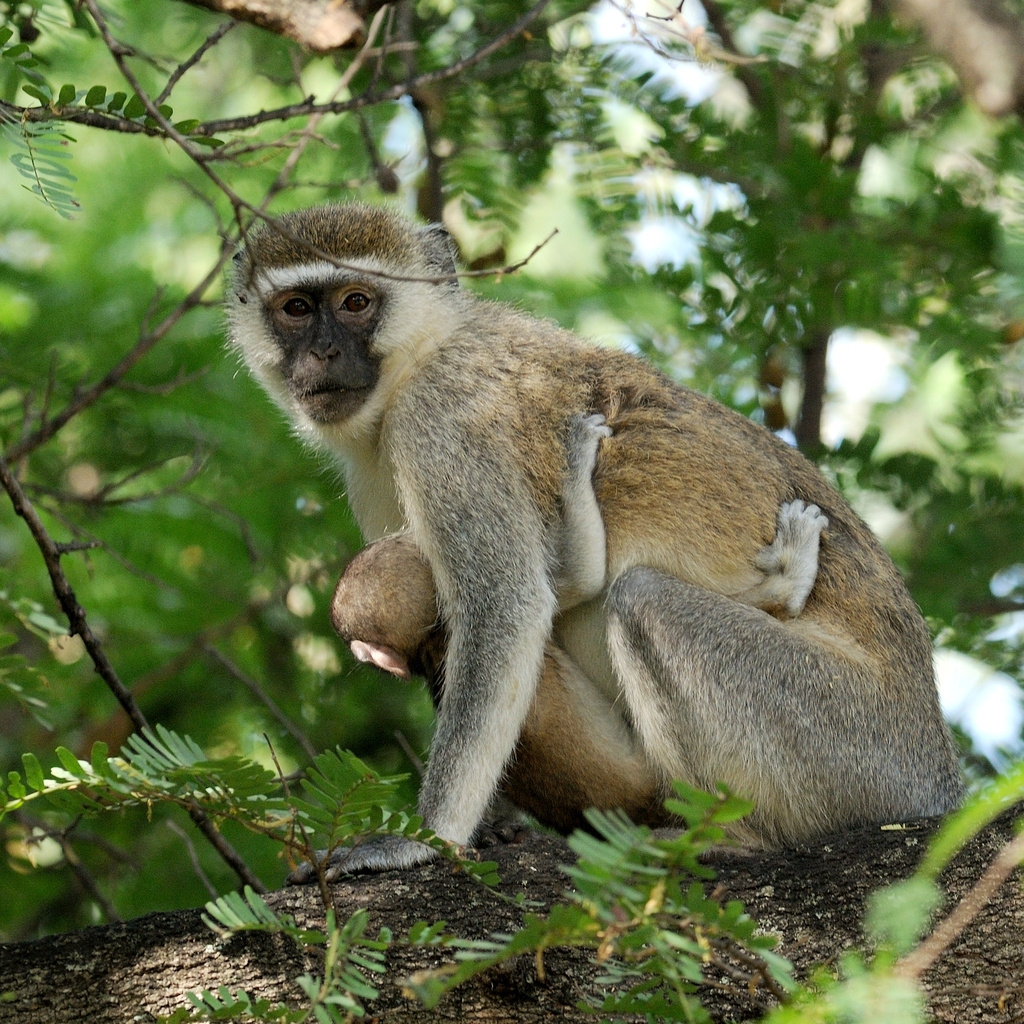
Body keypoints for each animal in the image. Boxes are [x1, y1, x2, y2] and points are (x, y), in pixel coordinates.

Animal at [226, 202, 963, 876]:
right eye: (296, 308)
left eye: (356, 302)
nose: (322, 352)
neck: (426, 352)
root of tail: (937, 779)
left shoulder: (443, 424)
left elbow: (507, 609)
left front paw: (420, 841)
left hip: (847, 745)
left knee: (644, 601)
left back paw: (731, 836)